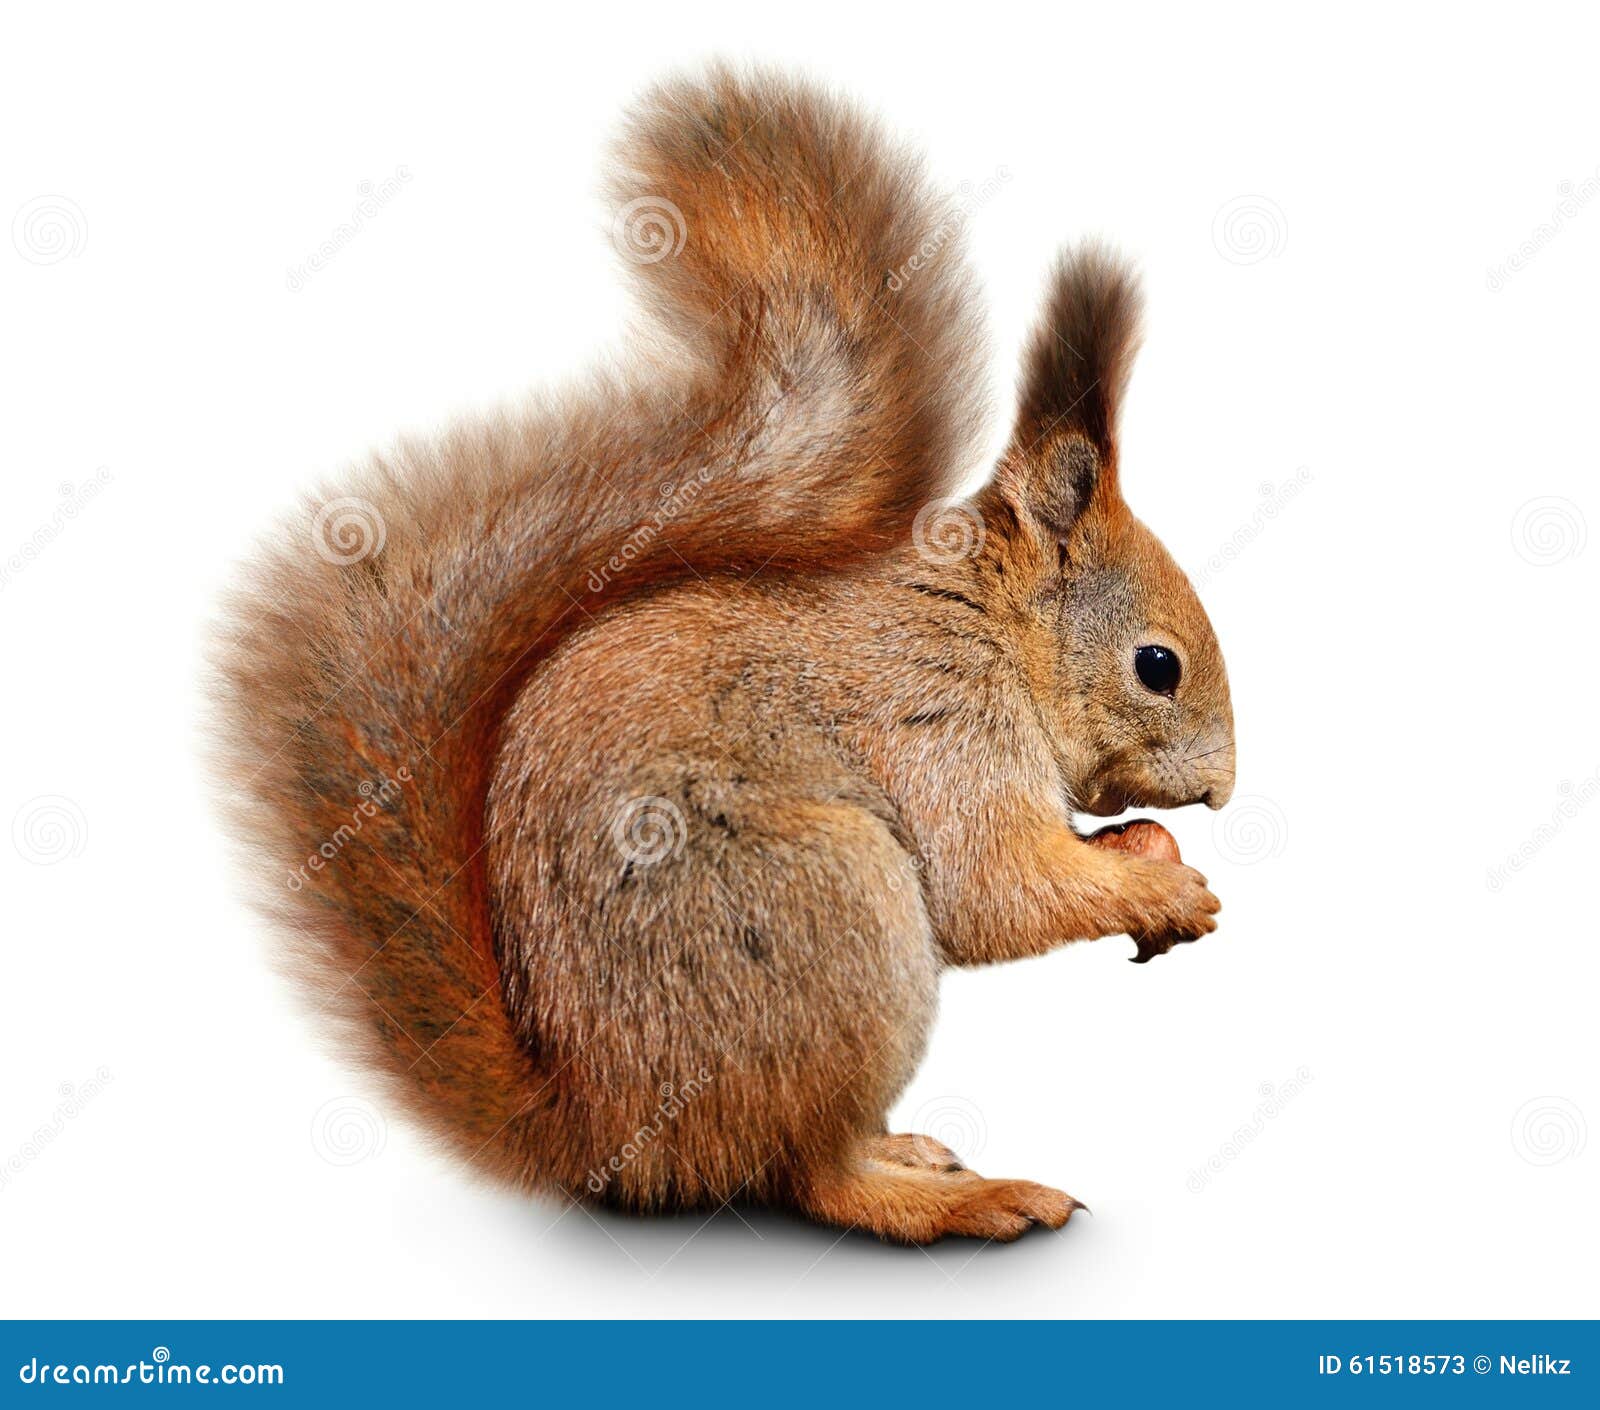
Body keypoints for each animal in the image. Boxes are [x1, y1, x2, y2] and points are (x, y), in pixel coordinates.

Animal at [214, 66, 1234, 1245]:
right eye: (1157, 665)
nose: (1223, 790)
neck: (984, 624)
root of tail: (599, 1132)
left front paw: (1146, 850)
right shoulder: (941, 716)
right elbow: (997, 887)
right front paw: (1162, 891)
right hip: (824, 902)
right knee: (809, 1172)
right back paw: (962, 1200)